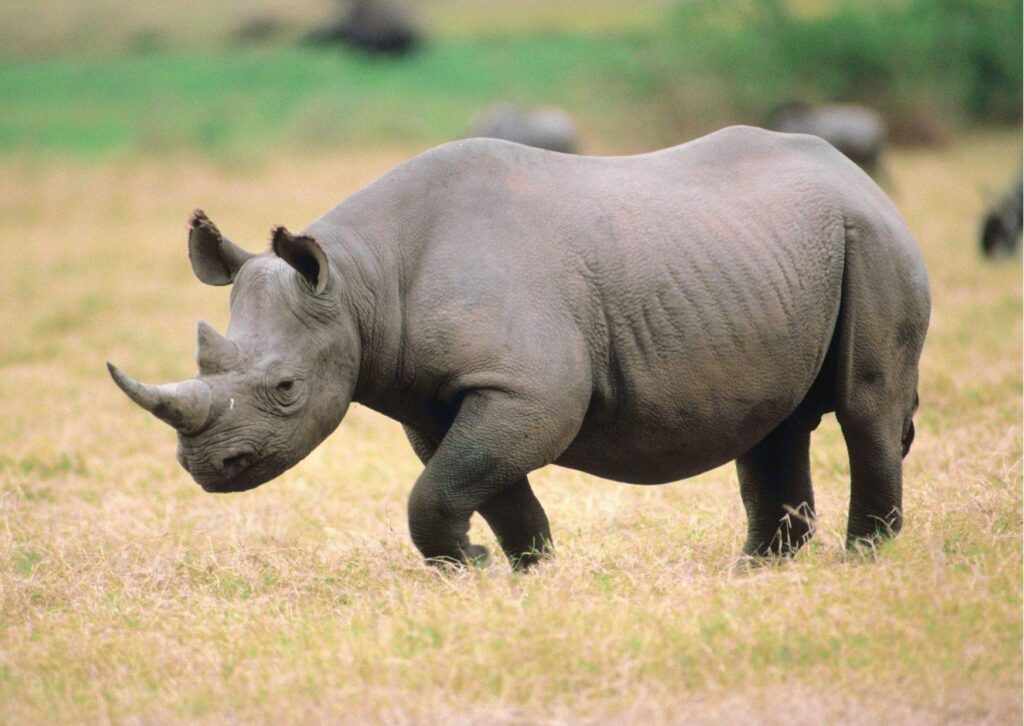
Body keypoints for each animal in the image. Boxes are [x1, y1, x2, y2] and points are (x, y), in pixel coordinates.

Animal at [109, 126, 930, 570]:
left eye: (284, 389)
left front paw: (472, 566)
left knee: (867, 406)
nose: (209, 469)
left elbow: (443, 487)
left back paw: (865, 560)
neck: (360, 283)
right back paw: (757, 573)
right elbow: (479, 485)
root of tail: (852, 171)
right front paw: (526, 573)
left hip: (873, 237)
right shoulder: (442, 399)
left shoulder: (528, 389)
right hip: (781, 254)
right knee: (775, 423)